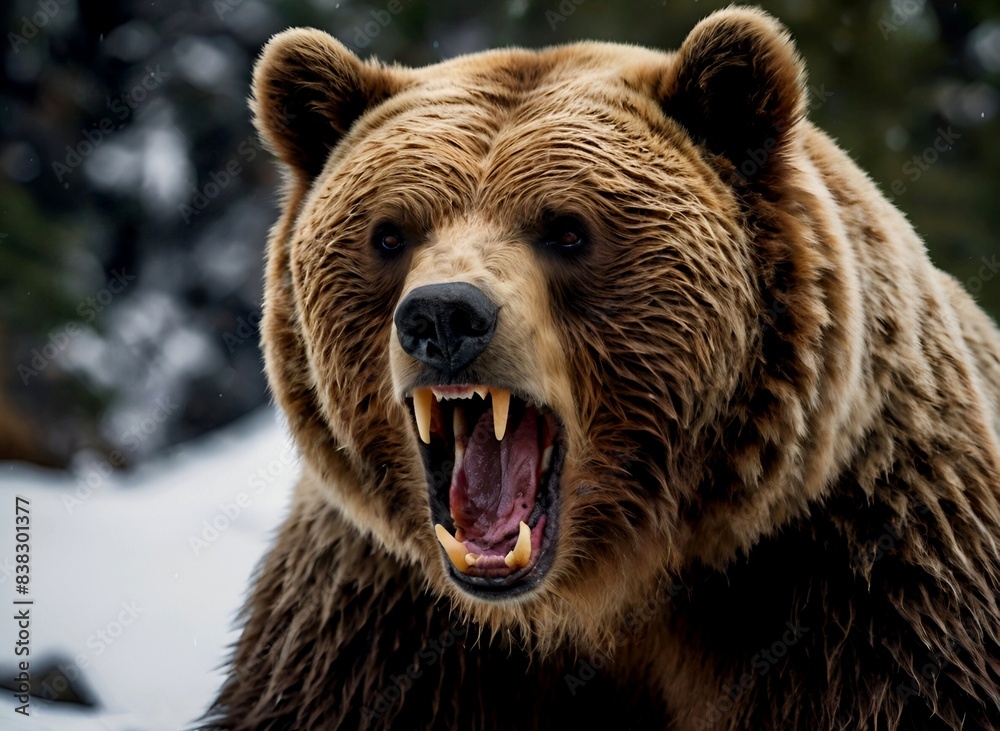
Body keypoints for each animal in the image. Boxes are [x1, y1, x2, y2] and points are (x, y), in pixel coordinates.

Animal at [201, 7, 1000, 730]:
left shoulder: (867, 586)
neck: (588, 599)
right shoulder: (371, 625)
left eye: (566, 230)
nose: (443, 316)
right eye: (390, 234)